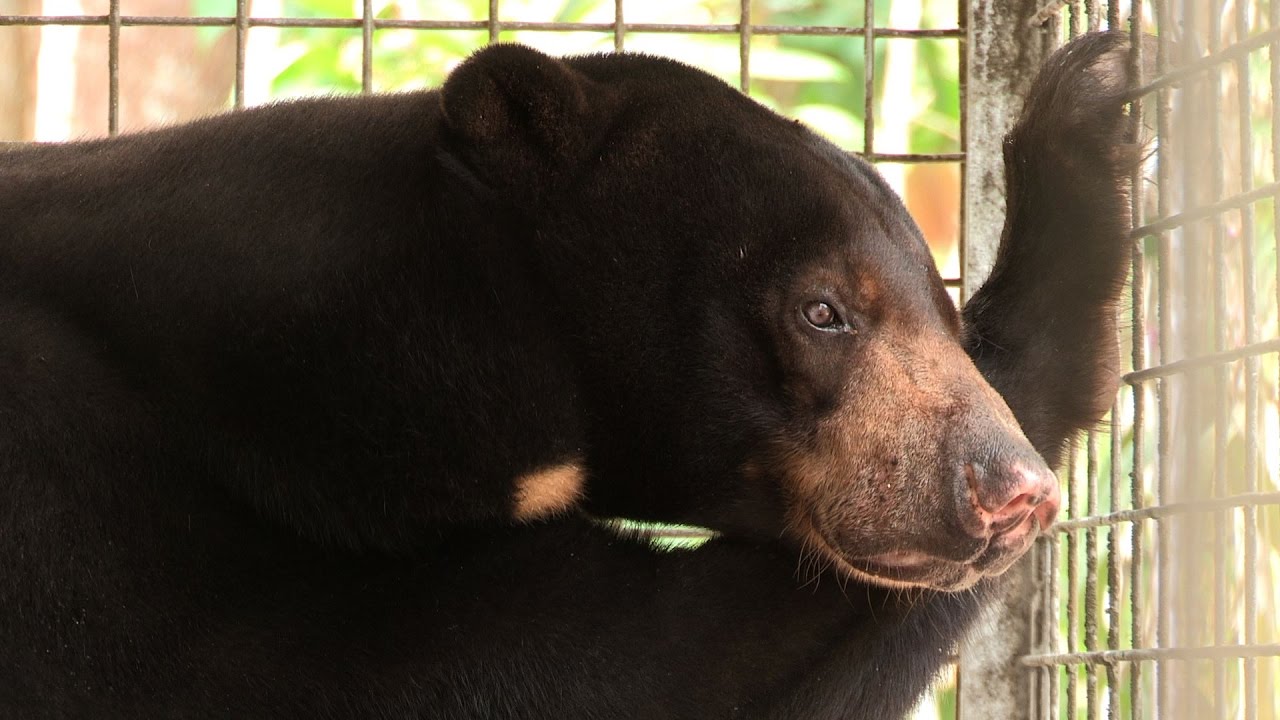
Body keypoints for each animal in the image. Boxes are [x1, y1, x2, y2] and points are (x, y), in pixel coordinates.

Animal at [0, 31, 1135, 718]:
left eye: (936, 310)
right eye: (823, 311)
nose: (1009, 491)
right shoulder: (97, 520)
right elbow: (614, 665)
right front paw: (1087, 118)